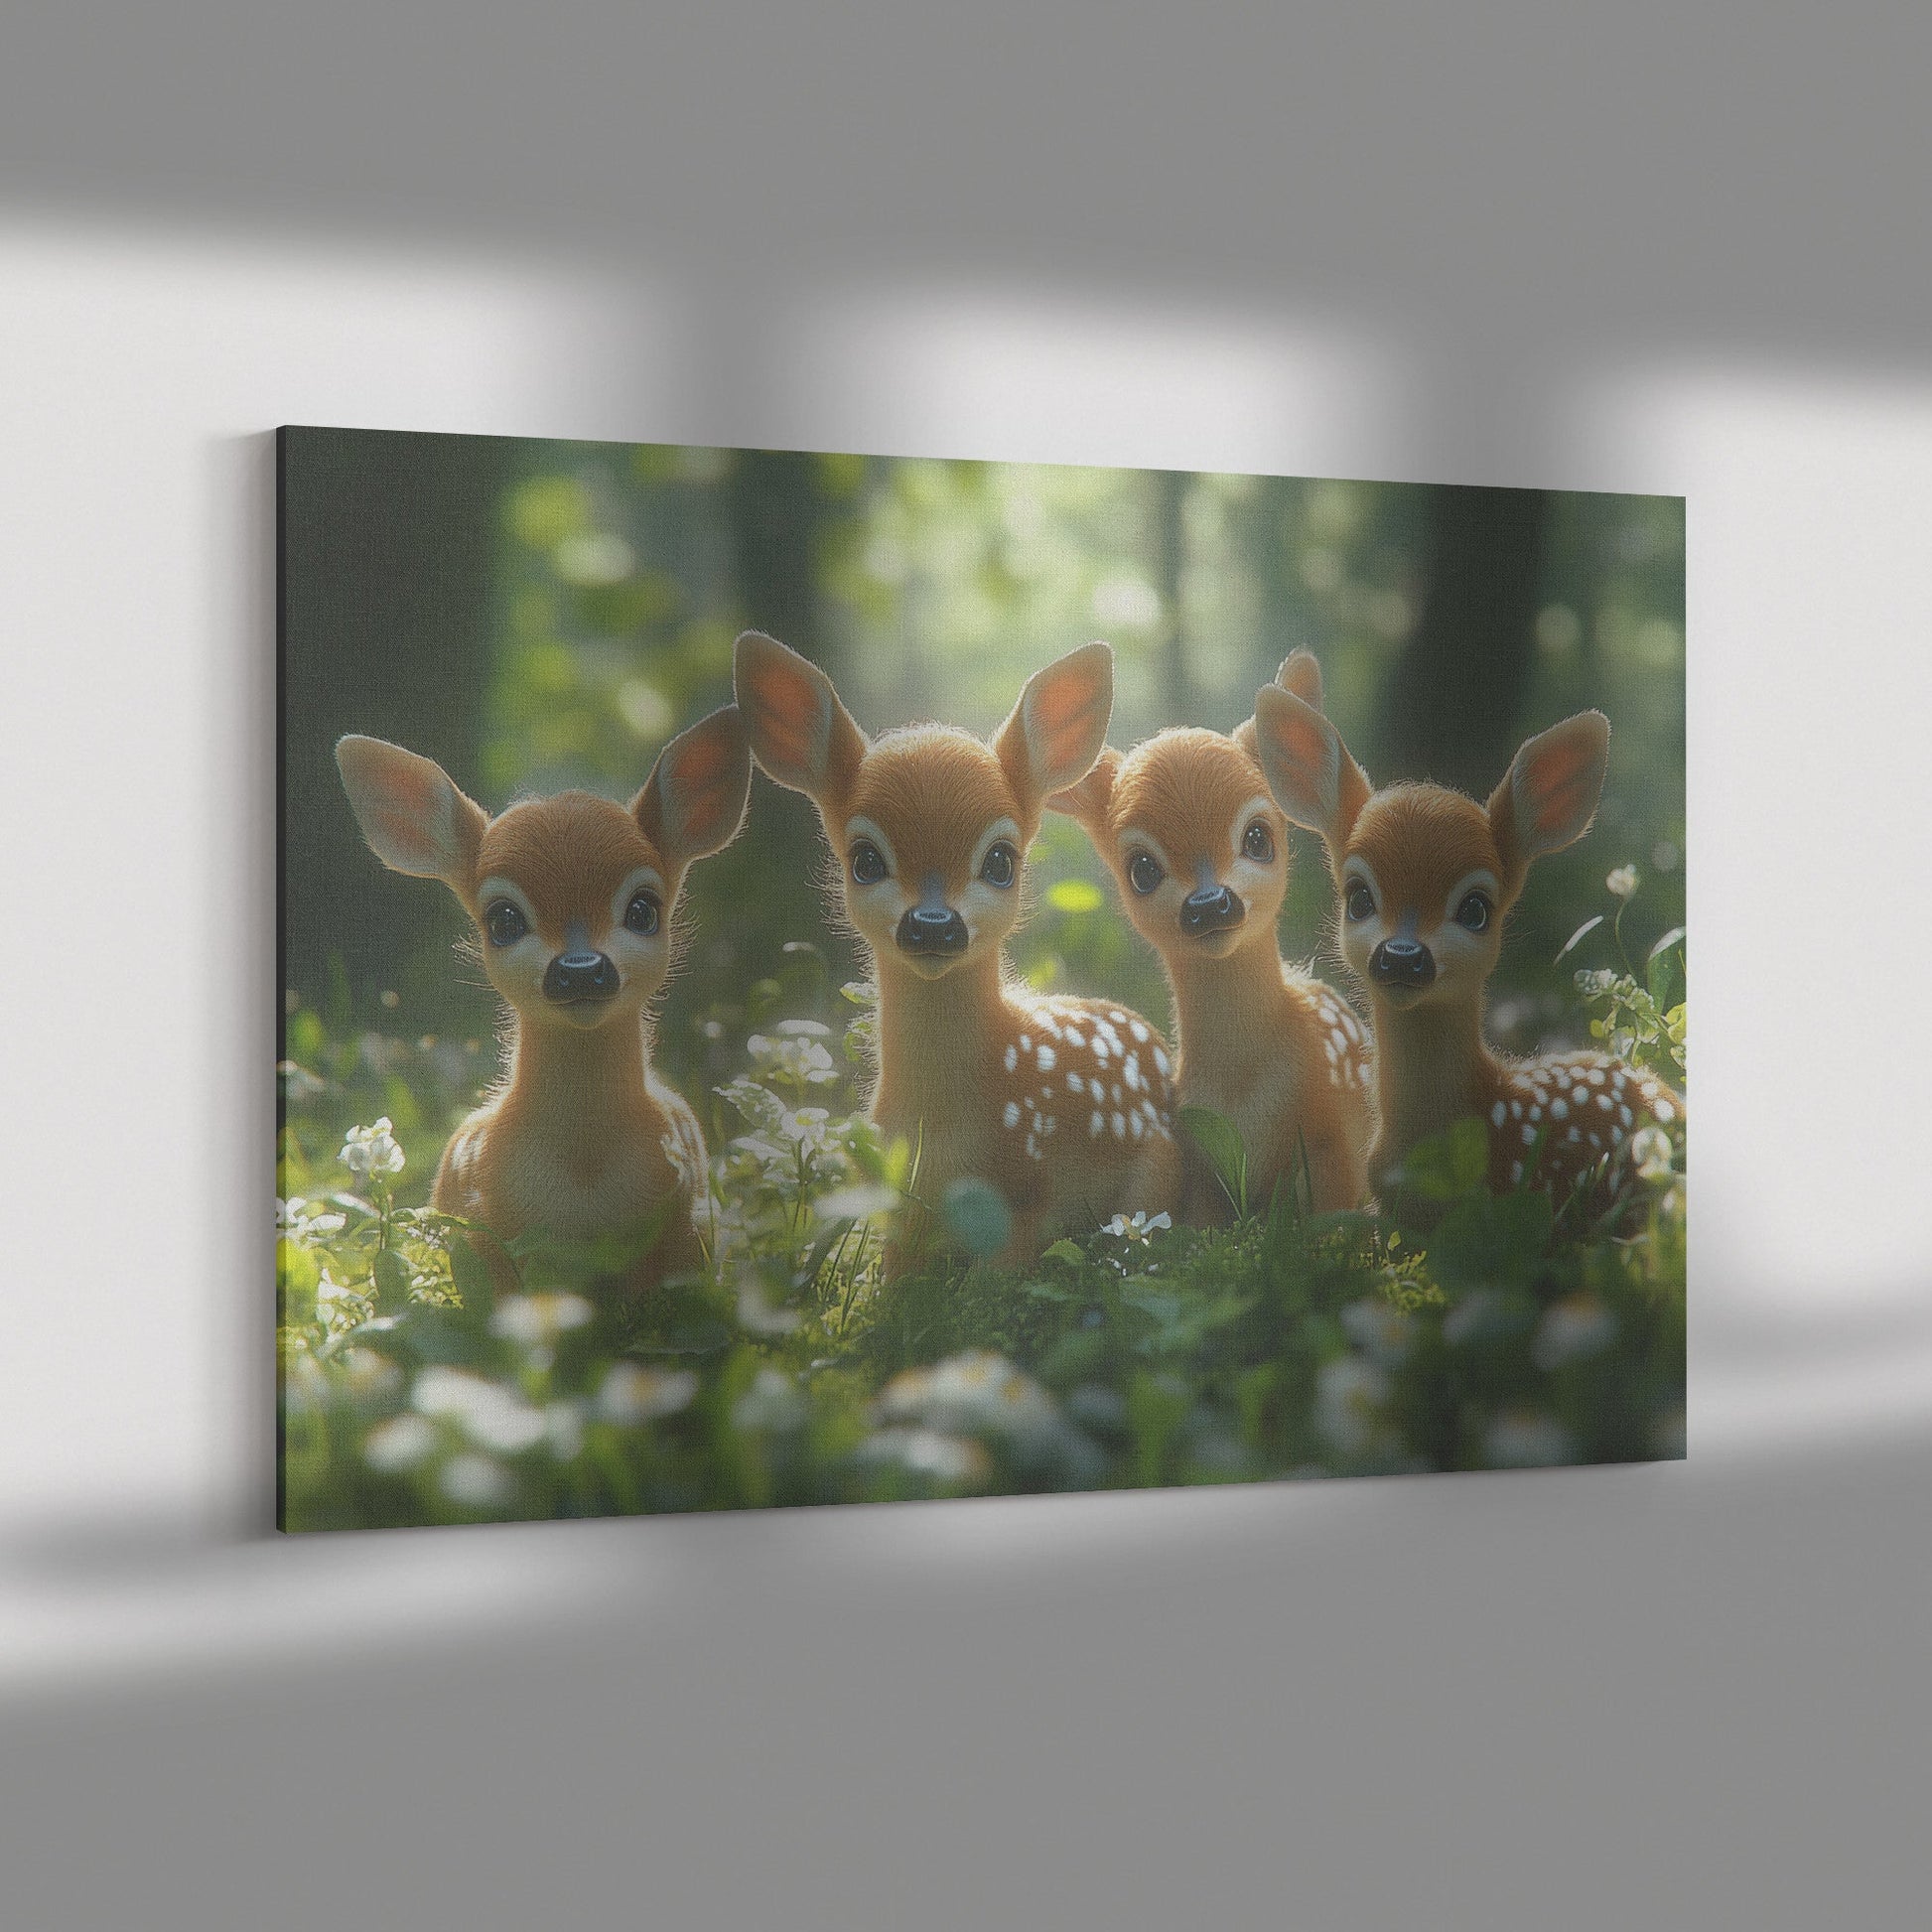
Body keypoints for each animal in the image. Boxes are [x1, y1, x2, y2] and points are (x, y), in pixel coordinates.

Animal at [335, 704, 752, 1291]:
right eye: (503, 919)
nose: (580, 970)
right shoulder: (488, 1238)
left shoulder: (687, 1228)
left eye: (643, 908)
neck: (584, 1175)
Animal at [1050, 650, 1372, 1220]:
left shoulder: (1333, 1134)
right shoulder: (1200, 1161)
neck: (1245, 1088)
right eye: (1142, 869)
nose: (1209, 903)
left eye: (1258, 837)